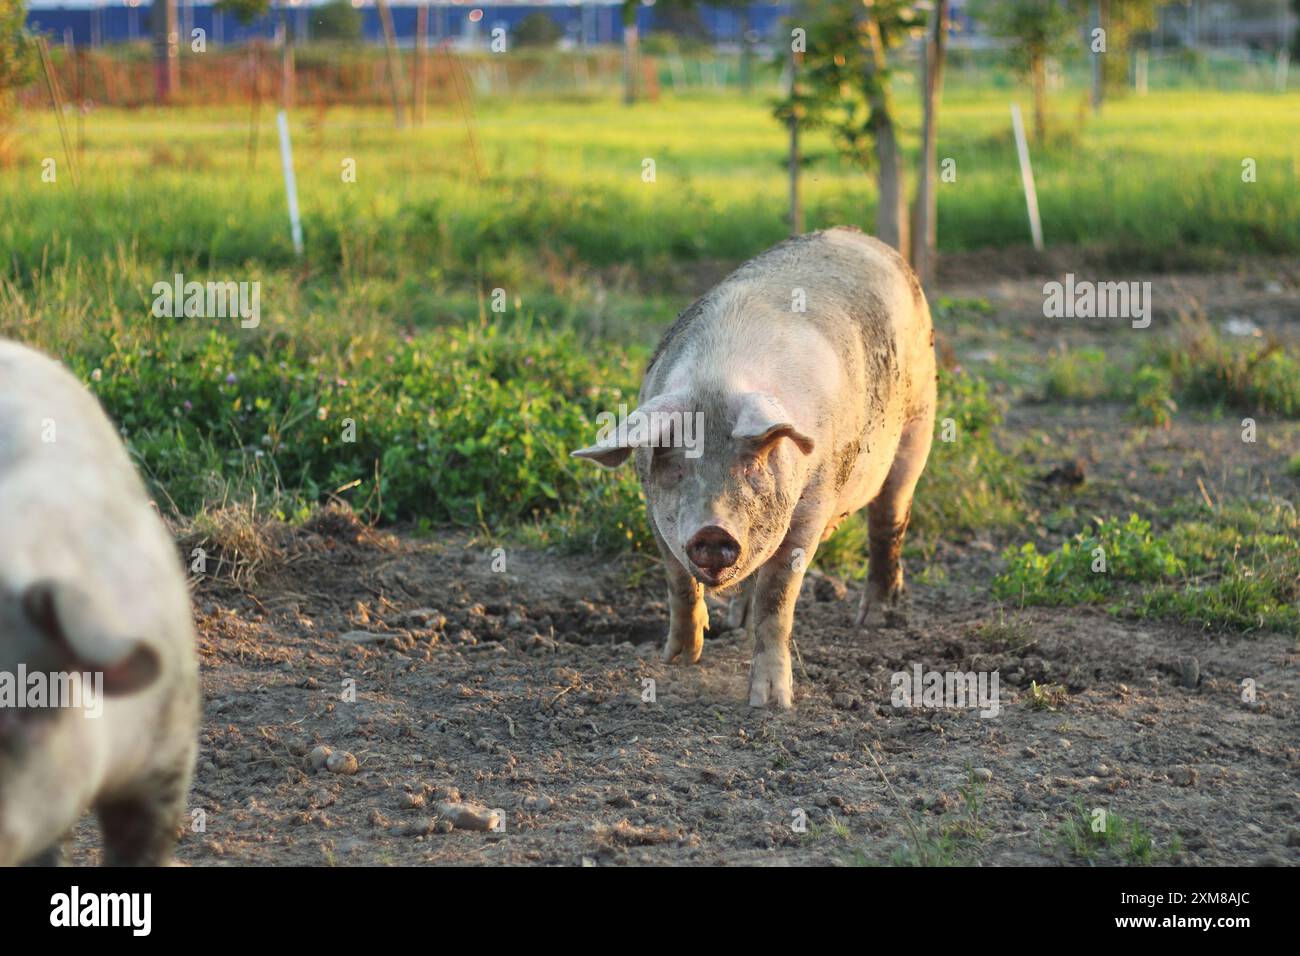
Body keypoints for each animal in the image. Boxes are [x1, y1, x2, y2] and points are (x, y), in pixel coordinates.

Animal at [573, 227, 936, 708]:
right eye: (677, 469)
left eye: (751, 466)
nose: (713, 532)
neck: (719, 379)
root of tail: (862, 238)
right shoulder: (652, 508)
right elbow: (678, 581)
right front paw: (678, 660)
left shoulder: (812, 505)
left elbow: (777, 596)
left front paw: (771, 702)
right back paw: (735, 622)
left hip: (919, 423)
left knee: (888, 522)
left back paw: (871, 619)